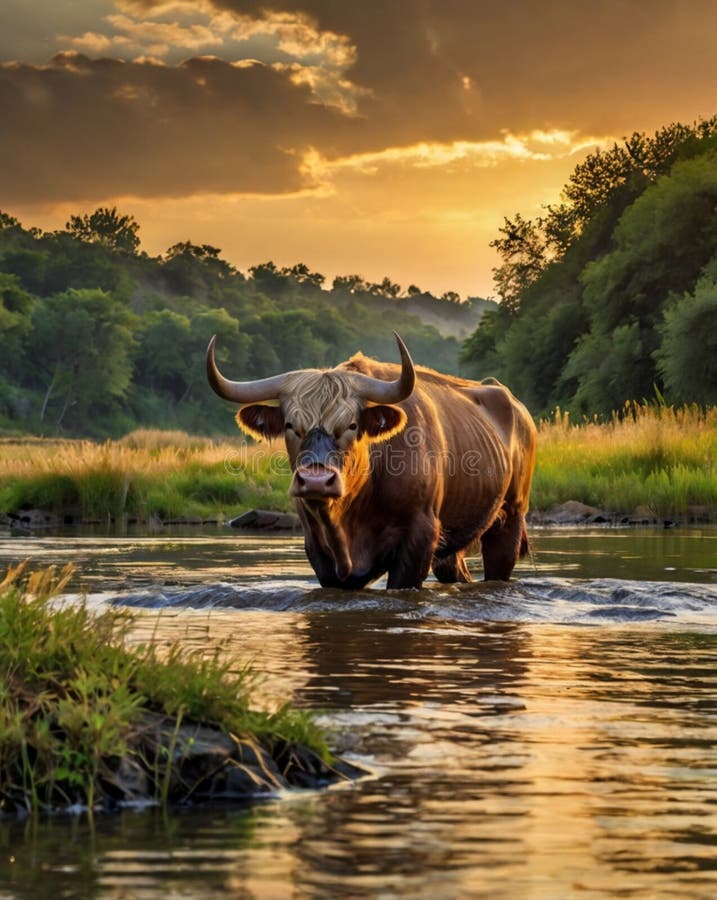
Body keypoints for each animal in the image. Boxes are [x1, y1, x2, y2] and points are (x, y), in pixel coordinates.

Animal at [207, 333, 536, 589]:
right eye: (291, 425)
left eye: (352, 425)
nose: (316, 481)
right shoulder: (318, 549)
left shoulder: (419, 537)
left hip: (510, 519)